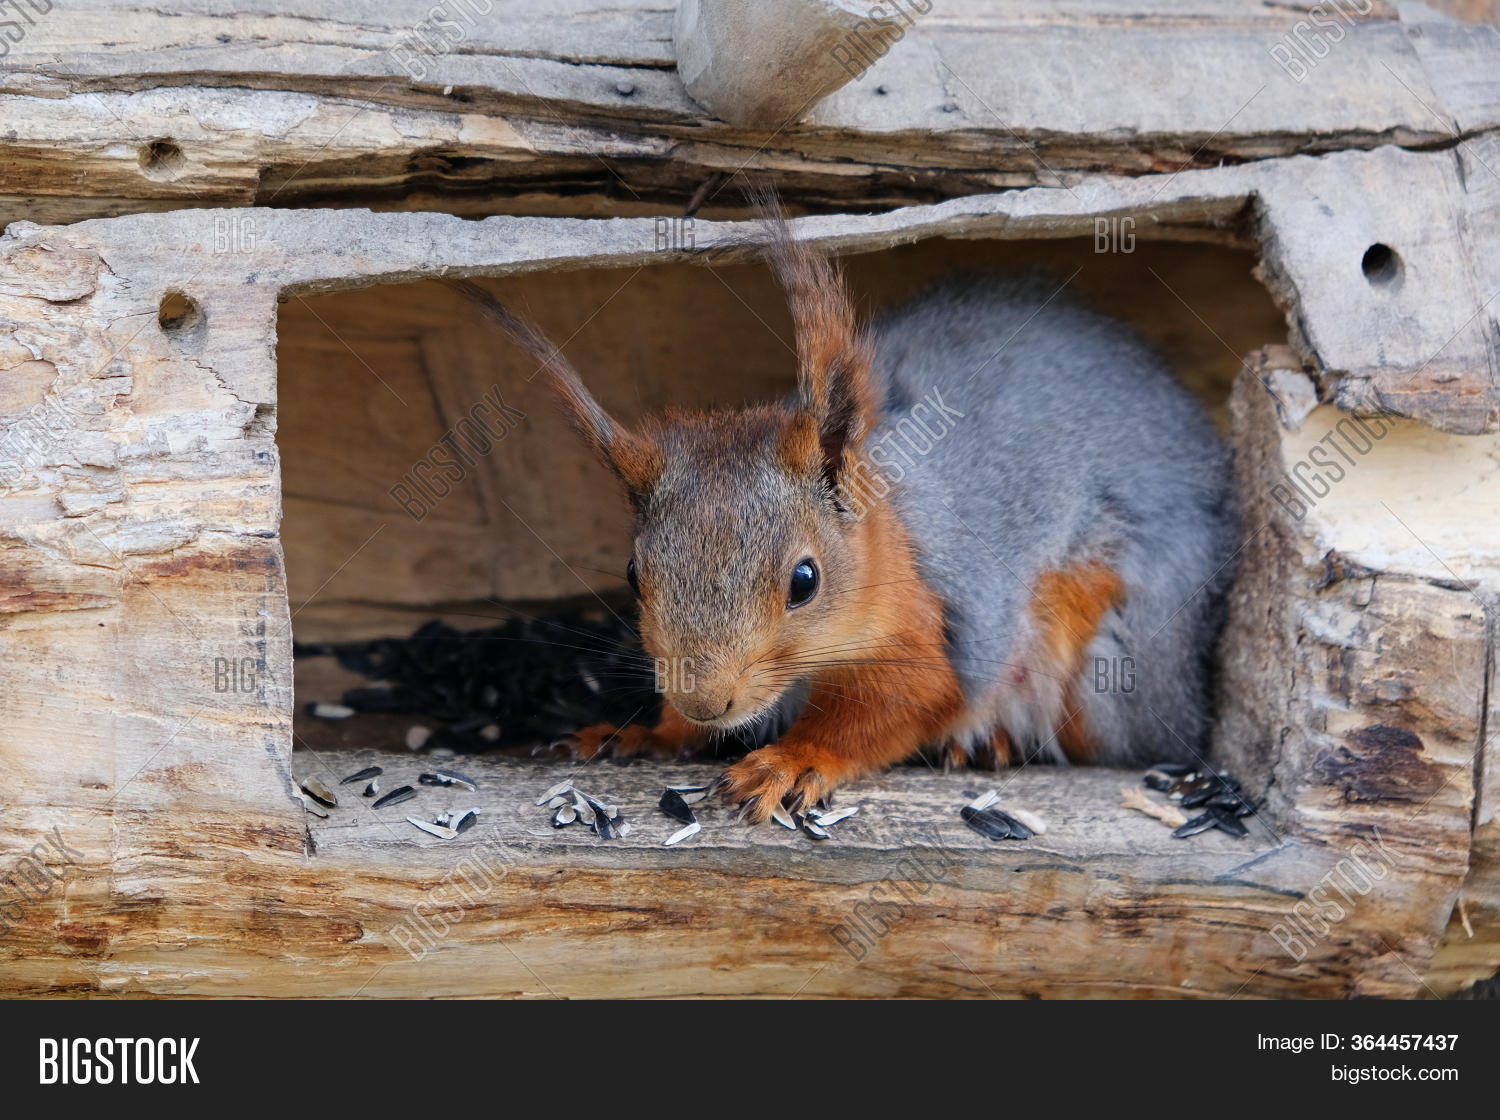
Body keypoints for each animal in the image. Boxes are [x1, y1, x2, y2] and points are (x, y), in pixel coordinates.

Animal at [449, 208, 1238, 823]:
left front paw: (793, 760)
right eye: (635, 574)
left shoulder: (938, 629)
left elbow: (897, 708)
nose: (705, 702)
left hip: (1114, 660)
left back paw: (990, 741)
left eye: (805, 580)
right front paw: (646, 733)